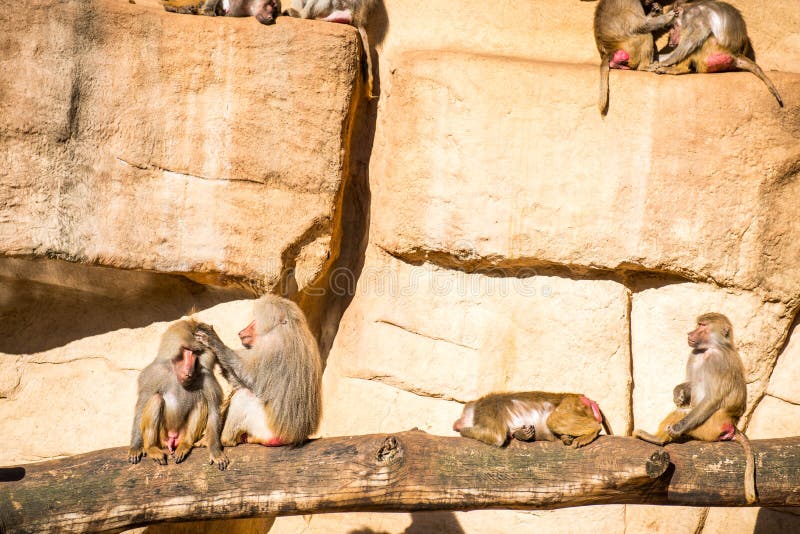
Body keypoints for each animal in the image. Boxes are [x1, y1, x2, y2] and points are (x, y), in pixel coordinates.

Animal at [128, 319, 228, 470]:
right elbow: (142, 405)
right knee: (156, 399)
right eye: (187, 351)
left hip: (183, 433)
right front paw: (135, 447)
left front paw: (215, 452)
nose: (189, 370)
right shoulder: (153, 374)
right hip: (161, 437)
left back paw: (185, 445)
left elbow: (213, 409)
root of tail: (173, 439)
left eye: (196, 352)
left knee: (201, 401)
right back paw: (151, 448)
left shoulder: (207, 377)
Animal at [195, 295, 322, 447]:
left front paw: (214, 341)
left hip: (268, 429)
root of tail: (295, 438)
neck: (287, 328)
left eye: (255, 322)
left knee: (243, 395)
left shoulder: (271, 344)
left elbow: (253, 380)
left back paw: (225, 440)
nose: (241, 331)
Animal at [453, 391, 613, 448]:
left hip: (572, 404)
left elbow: (496, 436)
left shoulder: (485, 409)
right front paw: (522, 434)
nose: (456, 422)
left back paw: (591, 431)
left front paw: (463, 431)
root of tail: (586, 399)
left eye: (462, 415)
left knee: (554, 419)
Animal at [633, 313, 756, 504]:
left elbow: (712, 398)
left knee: (682, 414)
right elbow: (690, 383)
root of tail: (731, 425)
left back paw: (657, 439)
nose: (689, 333)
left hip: (708, 427)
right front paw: (679, 392)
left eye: (702, 326)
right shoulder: (694, 353)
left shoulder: (717, 362)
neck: (711, 347)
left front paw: (676, 428)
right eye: (698, 324)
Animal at [645, 1, 783, 107]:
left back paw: (678, 69)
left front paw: (664, 62)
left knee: (700, 40)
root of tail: (736, 54)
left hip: (714, 50)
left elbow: (696, 35)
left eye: (673, 27)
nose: (670, 40)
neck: (687, 12)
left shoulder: (695, 17)